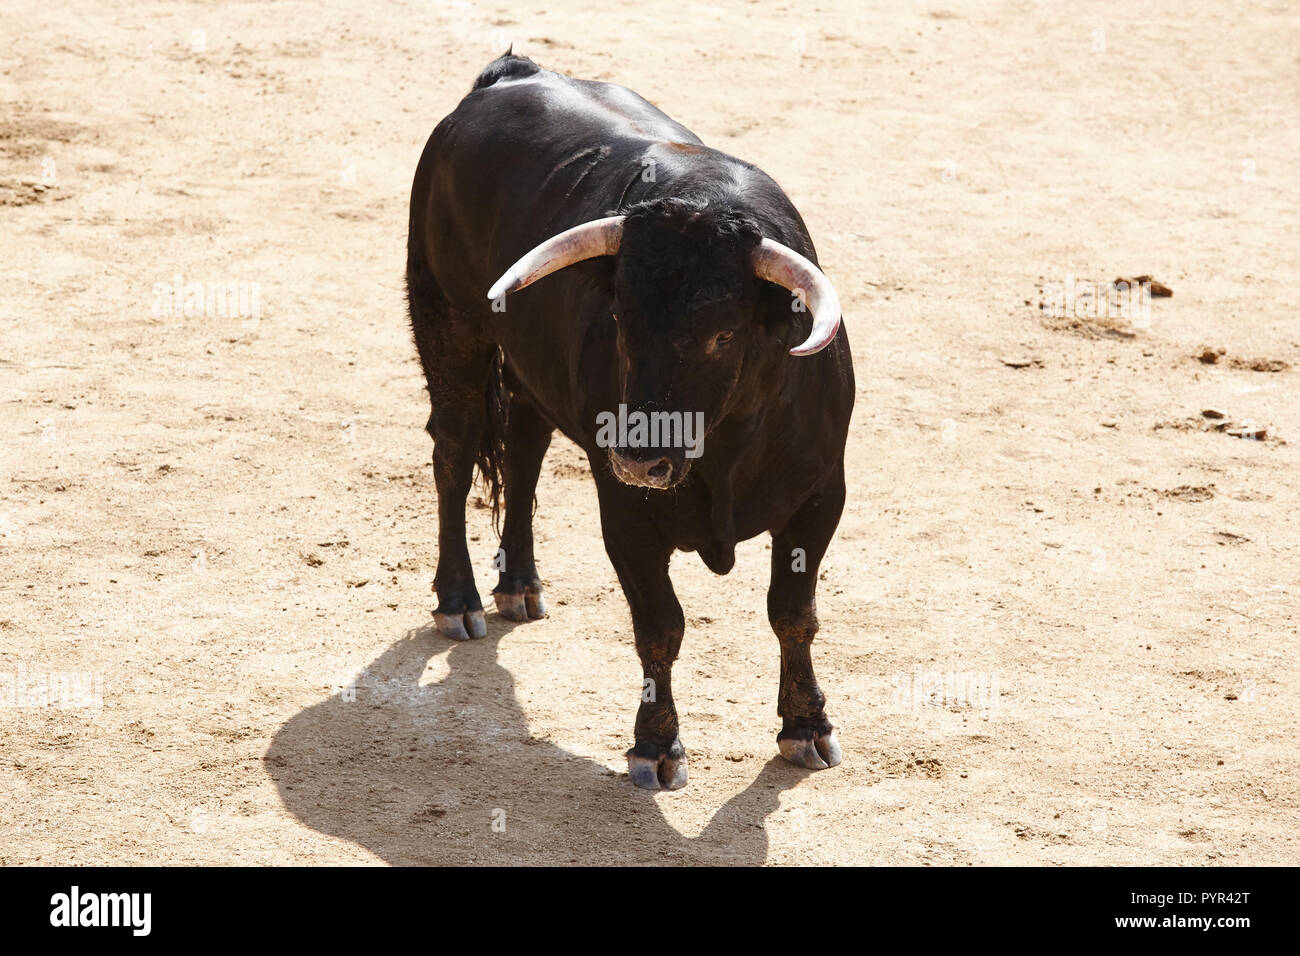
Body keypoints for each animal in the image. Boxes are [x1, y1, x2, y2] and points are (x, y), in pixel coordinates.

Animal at [407, 54, 854, 790]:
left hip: (528, 367)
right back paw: (460, 600)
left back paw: (519, 586)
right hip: (449, 324)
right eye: (621, 318)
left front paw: (806, 727)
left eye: (723, 335)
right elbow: (660, 626)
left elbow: (793, 614)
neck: (723, 452)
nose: (640, 459)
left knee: (524, 449)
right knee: (454, 453)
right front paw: (656, 746)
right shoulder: (625, 513)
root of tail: (508, 74)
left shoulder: (819, 497)